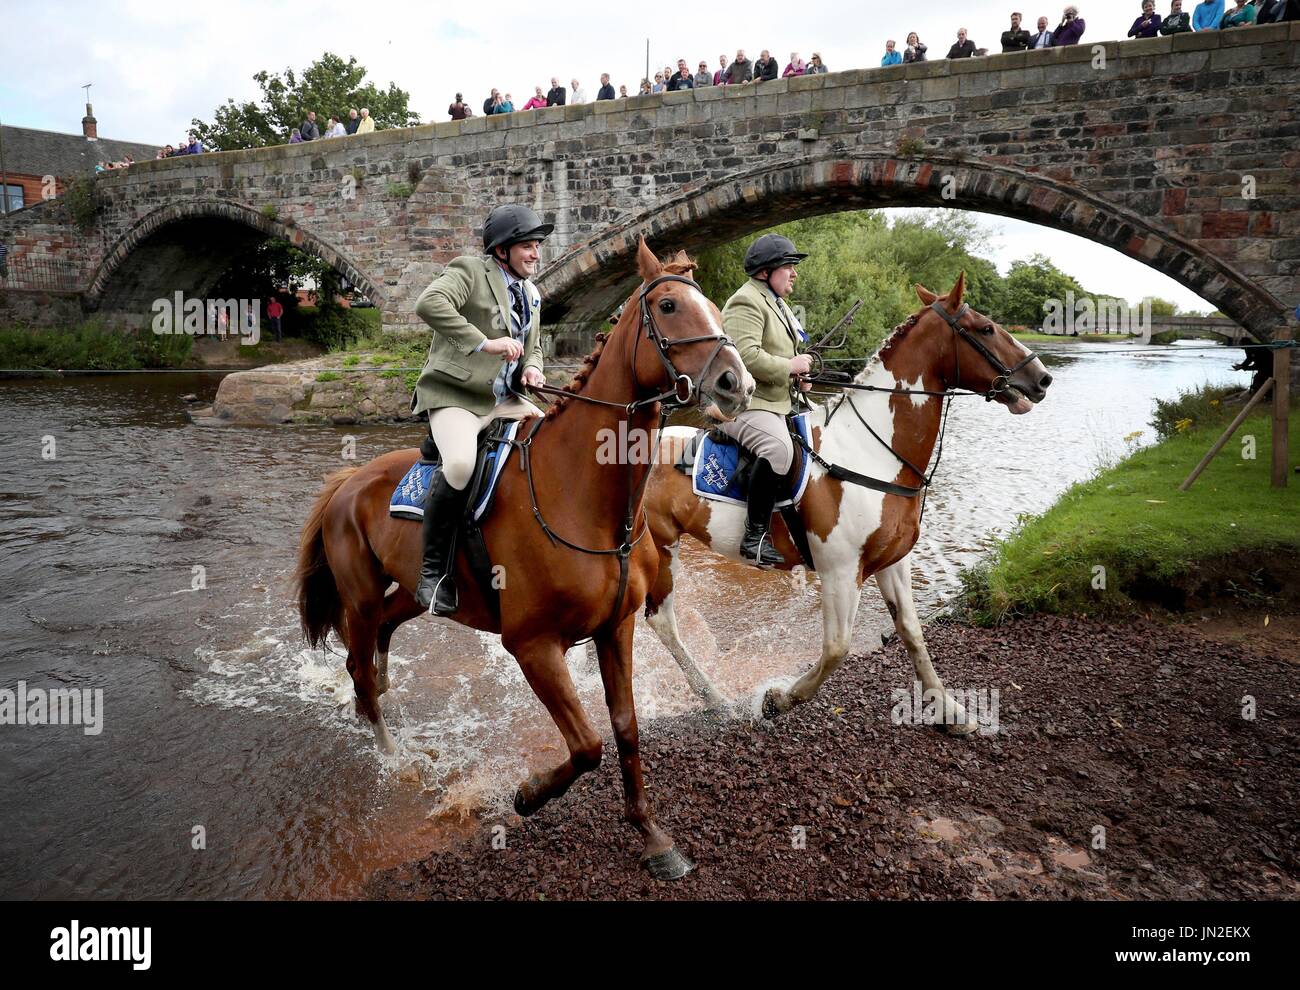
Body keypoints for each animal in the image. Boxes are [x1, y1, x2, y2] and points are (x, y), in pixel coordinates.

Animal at [293, 238, 752, 879]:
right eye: (667, 306)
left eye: (708, 301)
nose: (738, 382)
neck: (582, 495)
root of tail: (347, 482)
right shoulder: (533, 645)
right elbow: (586, 745)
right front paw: (529, 795)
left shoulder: (616, 627)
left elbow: (626, 730)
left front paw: (653, 837)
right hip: (358, 600)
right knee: (359, 675)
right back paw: (394, 755)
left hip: (410, 594)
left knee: (380, 647)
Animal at [642, 273, 1052, 726]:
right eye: (986, 328)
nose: (1042, 378)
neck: (873, 451)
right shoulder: (840, 571)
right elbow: (837, 648)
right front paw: (778, 699)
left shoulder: (892, 562)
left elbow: (912, 632)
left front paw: (950, 711)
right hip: (662, 549)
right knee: (663, 620)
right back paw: (713, 697)